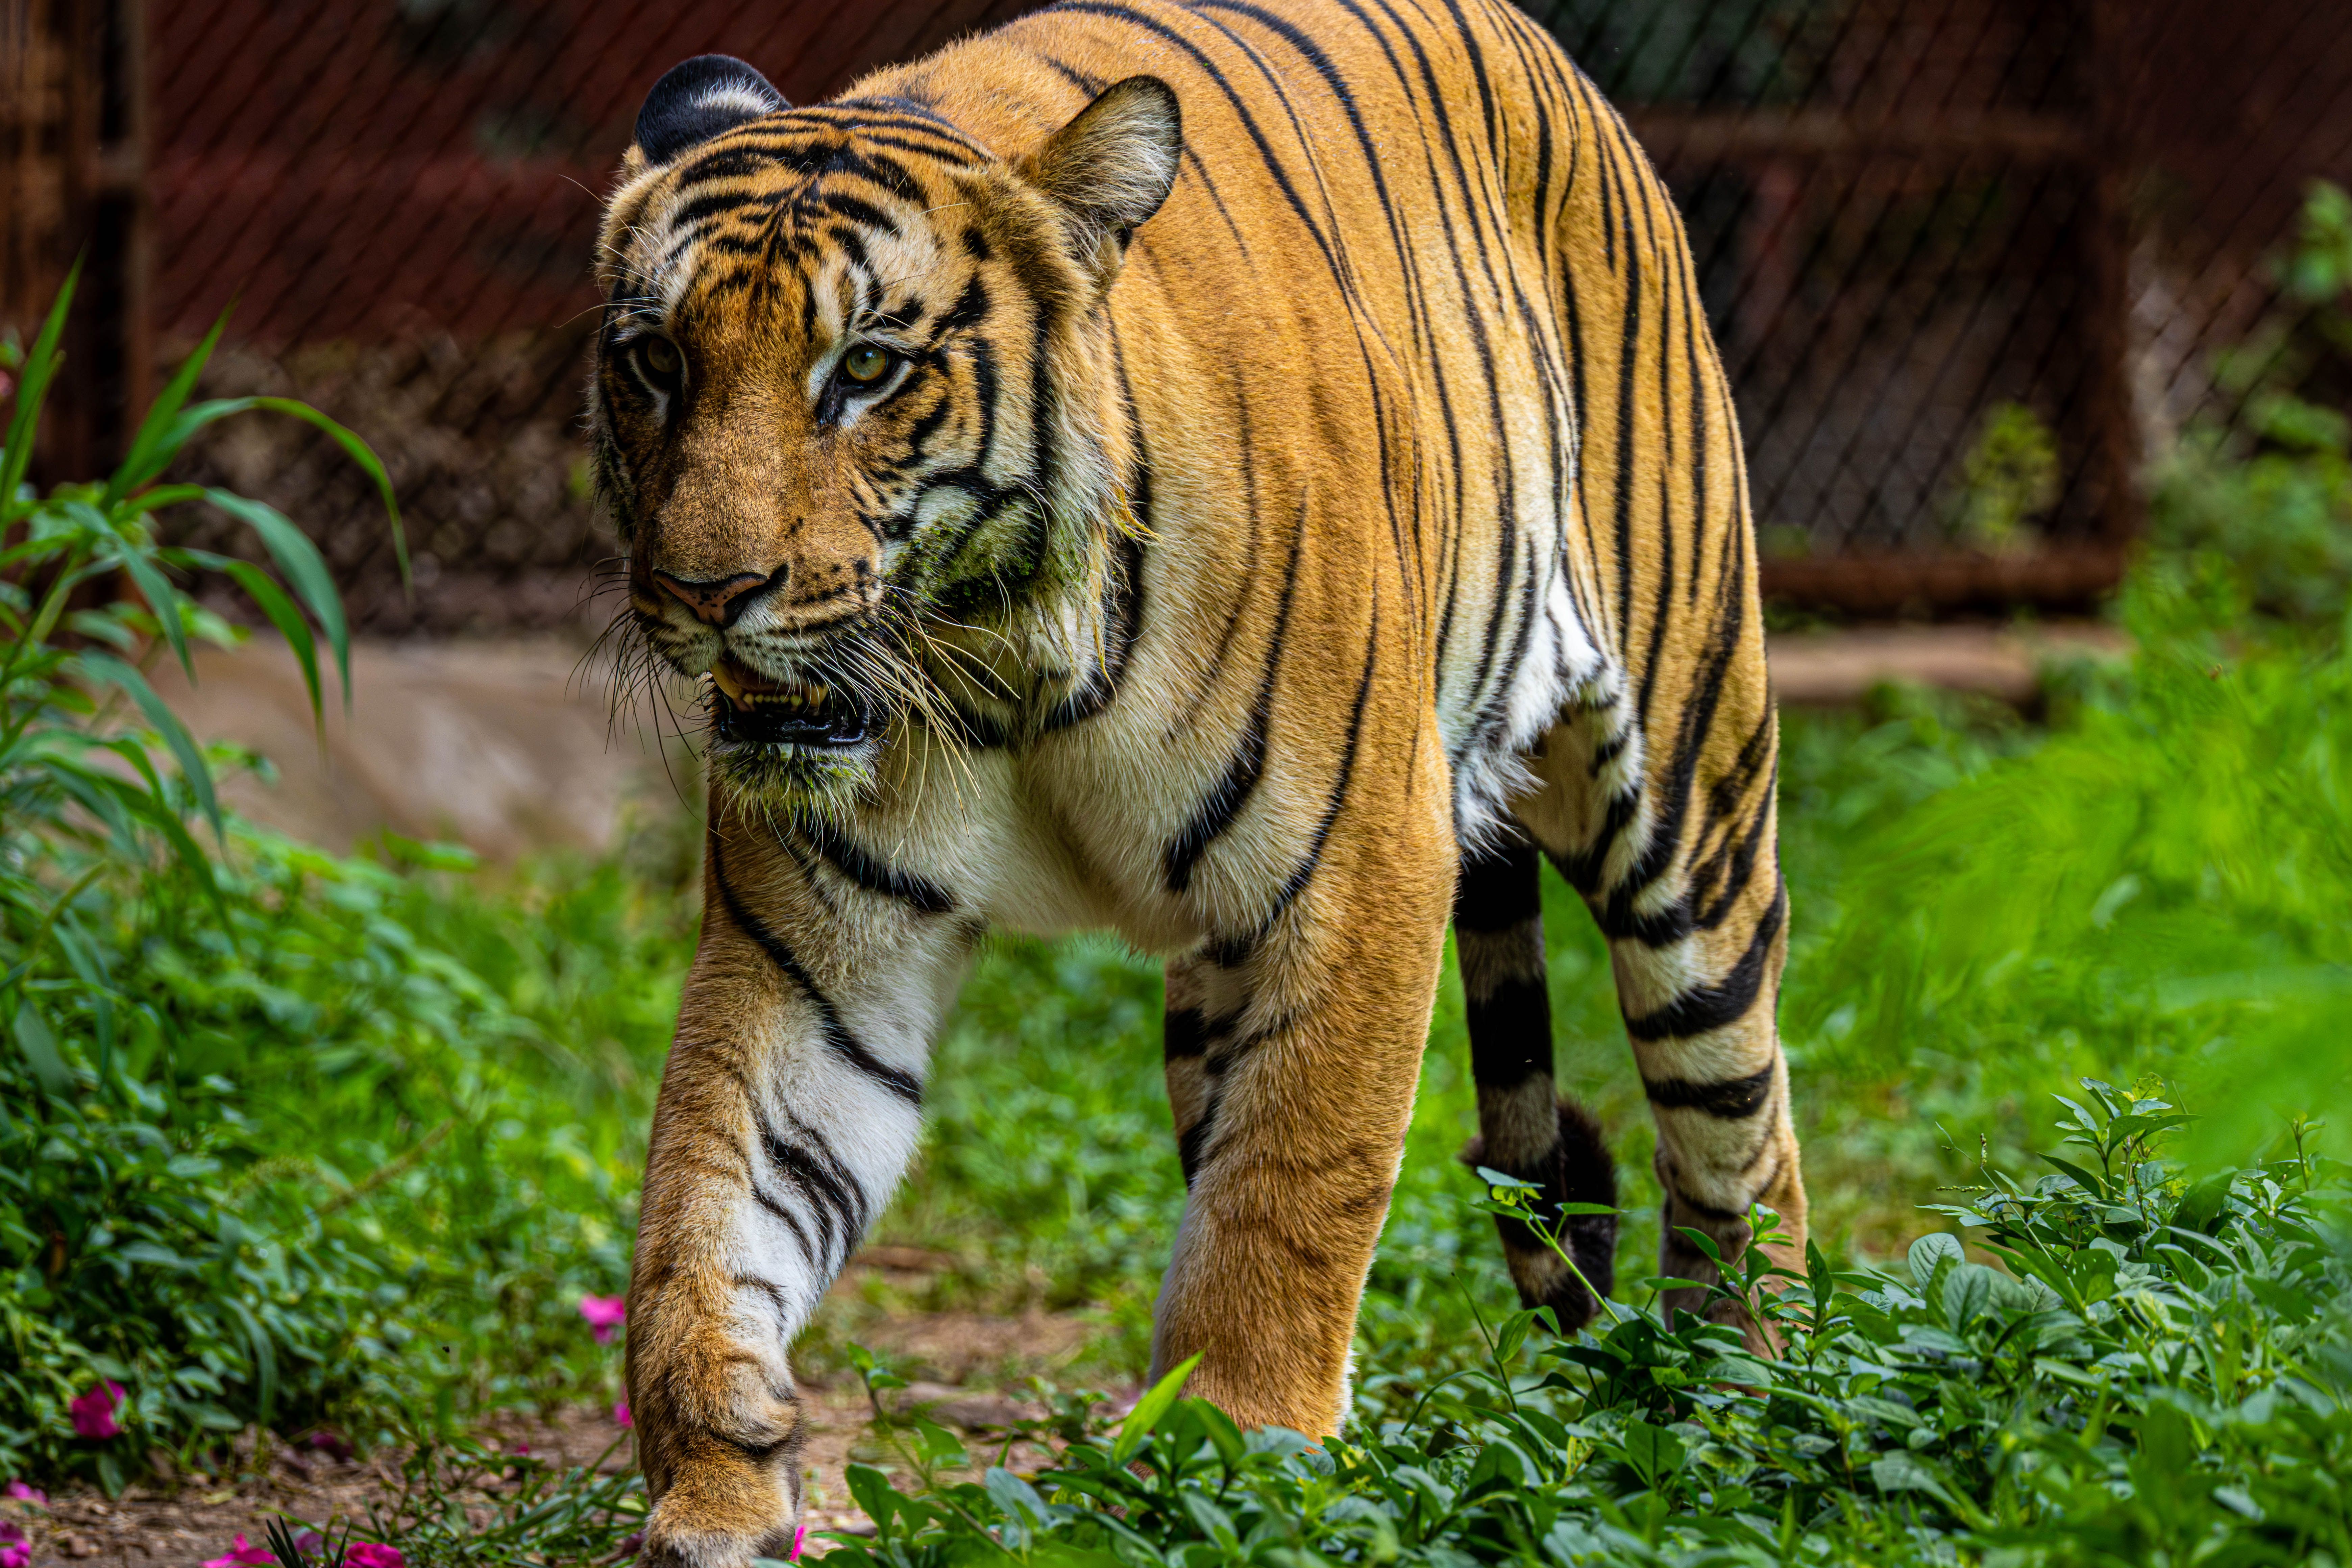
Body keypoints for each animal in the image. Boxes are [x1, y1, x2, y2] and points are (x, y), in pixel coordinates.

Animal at [589, 1, 1806, 1561]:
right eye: (654, 360)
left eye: (863, 368)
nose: (707, 590)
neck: (995, 657)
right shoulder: (815, 951)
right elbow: (708, 1208)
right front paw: (715, 1489)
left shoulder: (1363, 876)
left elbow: (1292, 1200)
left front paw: (1240, 1453)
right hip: (1213, 987)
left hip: (1691, 806)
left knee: (1740, 1139)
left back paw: (1741, 1408)